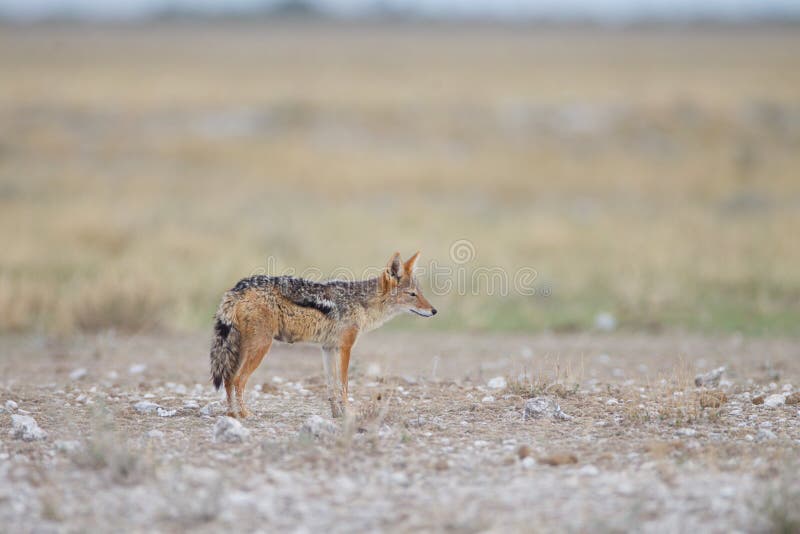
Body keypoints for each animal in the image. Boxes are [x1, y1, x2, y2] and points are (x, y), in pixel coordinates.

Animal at [210, 251, 437, 418]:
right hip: (260, 347)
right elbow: (344, 385)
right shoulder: (345, 348)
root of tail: (237, 288)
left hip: (242, 349)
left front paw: (336, 414)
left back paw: (231, 414)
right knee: (238, 380)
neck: (362, 303)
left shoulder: (327, 348)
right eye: (412, 294)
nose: (434, 311)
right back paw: (245, 414)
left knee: (229, 380)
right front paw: (349, 413)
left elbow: (331, 387)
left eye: (420, 293)